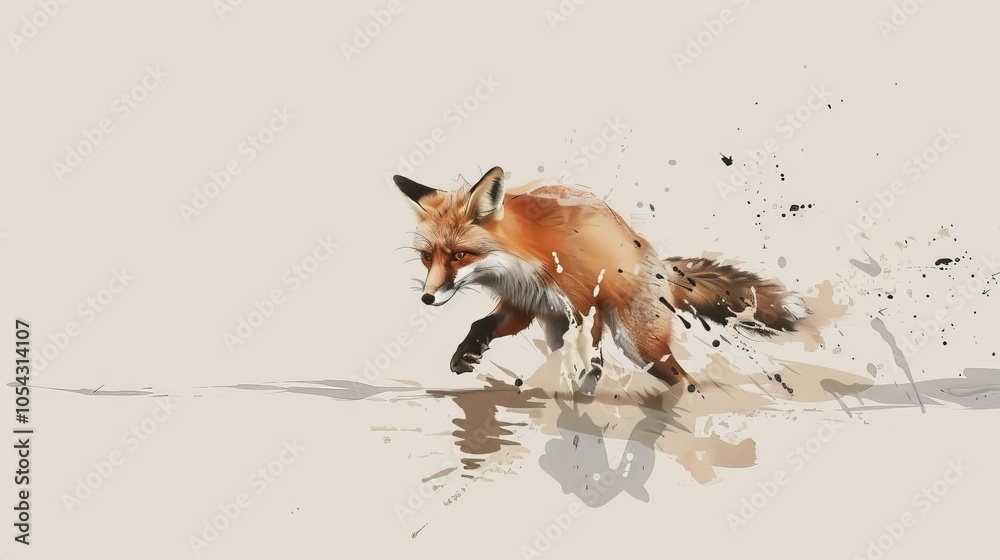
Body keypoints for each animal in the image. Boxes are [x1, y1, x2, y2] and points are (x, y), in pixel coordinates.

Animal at [394, 166, 808, 388]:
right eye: (427, 256)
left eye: (460, 255)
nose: (427, 298)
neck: (524, 259)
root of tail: (658, 263)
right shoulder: (525, 304)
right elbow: (481, 325)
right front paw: (466, 354)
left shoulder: (583, 306)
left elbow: (589, 364)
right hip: (556, 327)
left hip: (640, 344)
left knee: (680, 377)